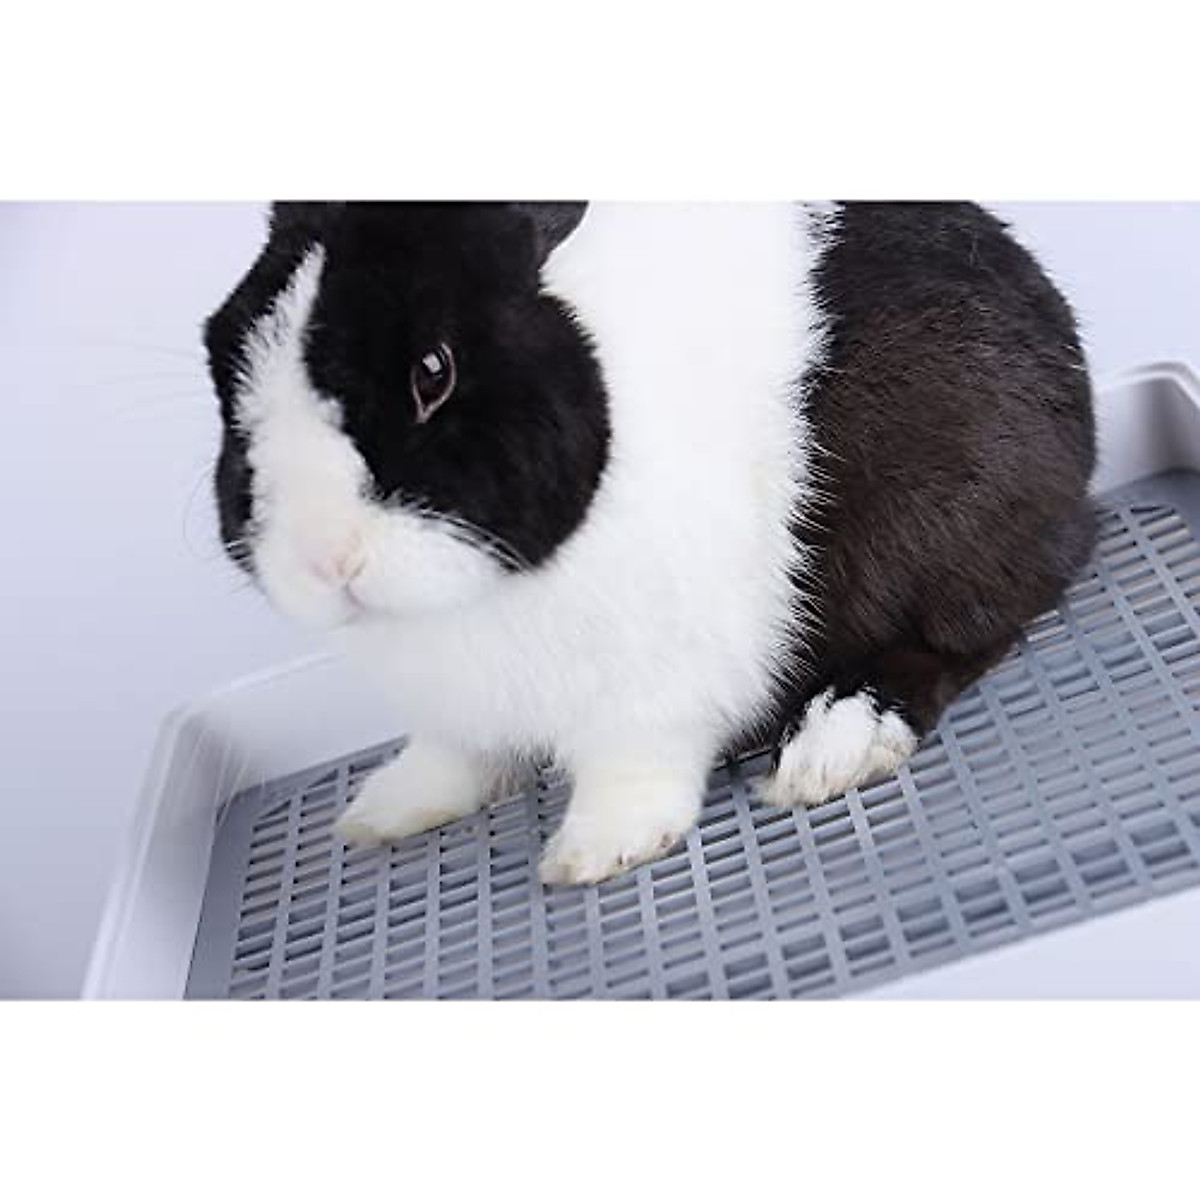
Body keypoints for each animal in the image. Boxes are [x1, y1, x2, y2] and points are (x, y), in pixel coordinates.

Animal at [204, 201, 1095, 885]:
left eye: (434, 371)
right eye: (227, 357)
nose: (326, 557)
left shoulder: (657, 687)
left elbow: (631, 761)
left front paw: (598, 853)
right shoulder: (462, 715)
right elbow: (453, 756)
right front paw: (383, 811)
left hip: (951, 526)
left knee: (963, 635)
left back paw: (836, 743)